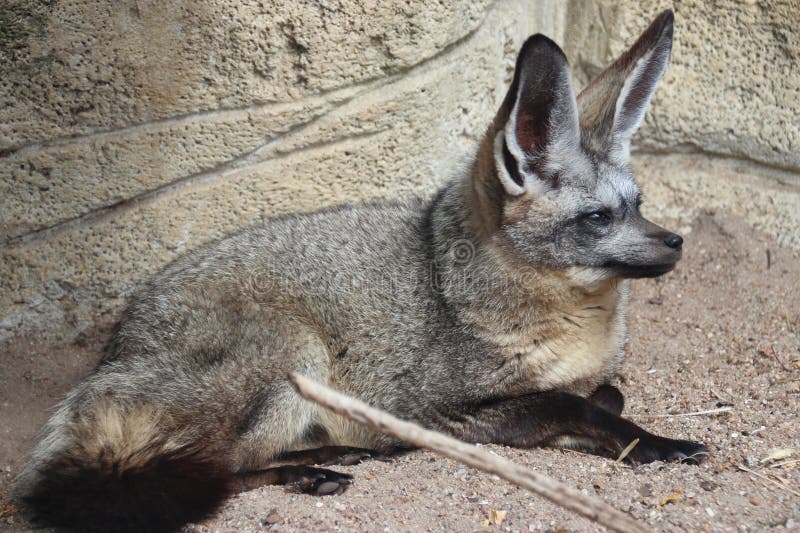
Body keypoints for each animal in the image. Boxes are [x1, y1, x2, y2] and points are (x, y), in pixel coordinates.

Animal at [15, 9, 707, 532]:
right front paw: (654, 442)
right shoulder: (437, 410)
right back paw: (313, 467)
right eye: (596, 218)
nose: (676, 243)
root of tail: (114, 352)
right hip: (292, 352)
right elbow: (572, 405)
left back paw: (335, 448)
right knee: (219, 469)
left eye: (637, 204)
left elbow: (603, 391)